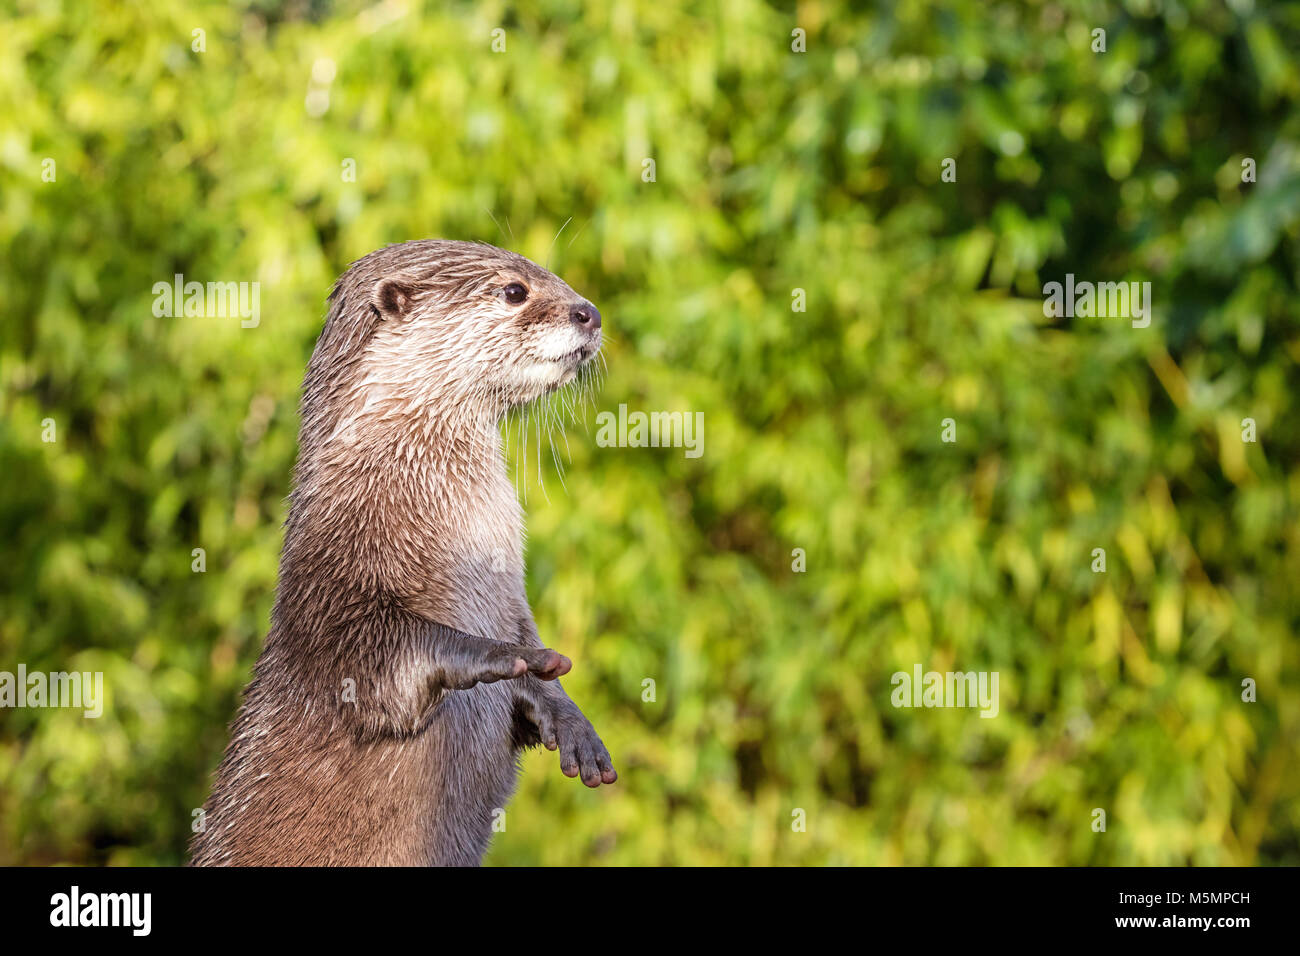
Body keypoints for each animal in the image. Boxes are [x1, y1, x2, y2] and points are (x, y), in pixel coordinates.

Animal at [190, 239, 616, 867]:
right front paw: (496, 655)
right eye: (515, 290)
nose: (590, 313)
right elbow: (374, 657)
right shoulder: (329, 586)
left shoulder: (512, 597)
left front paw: (570, 721)